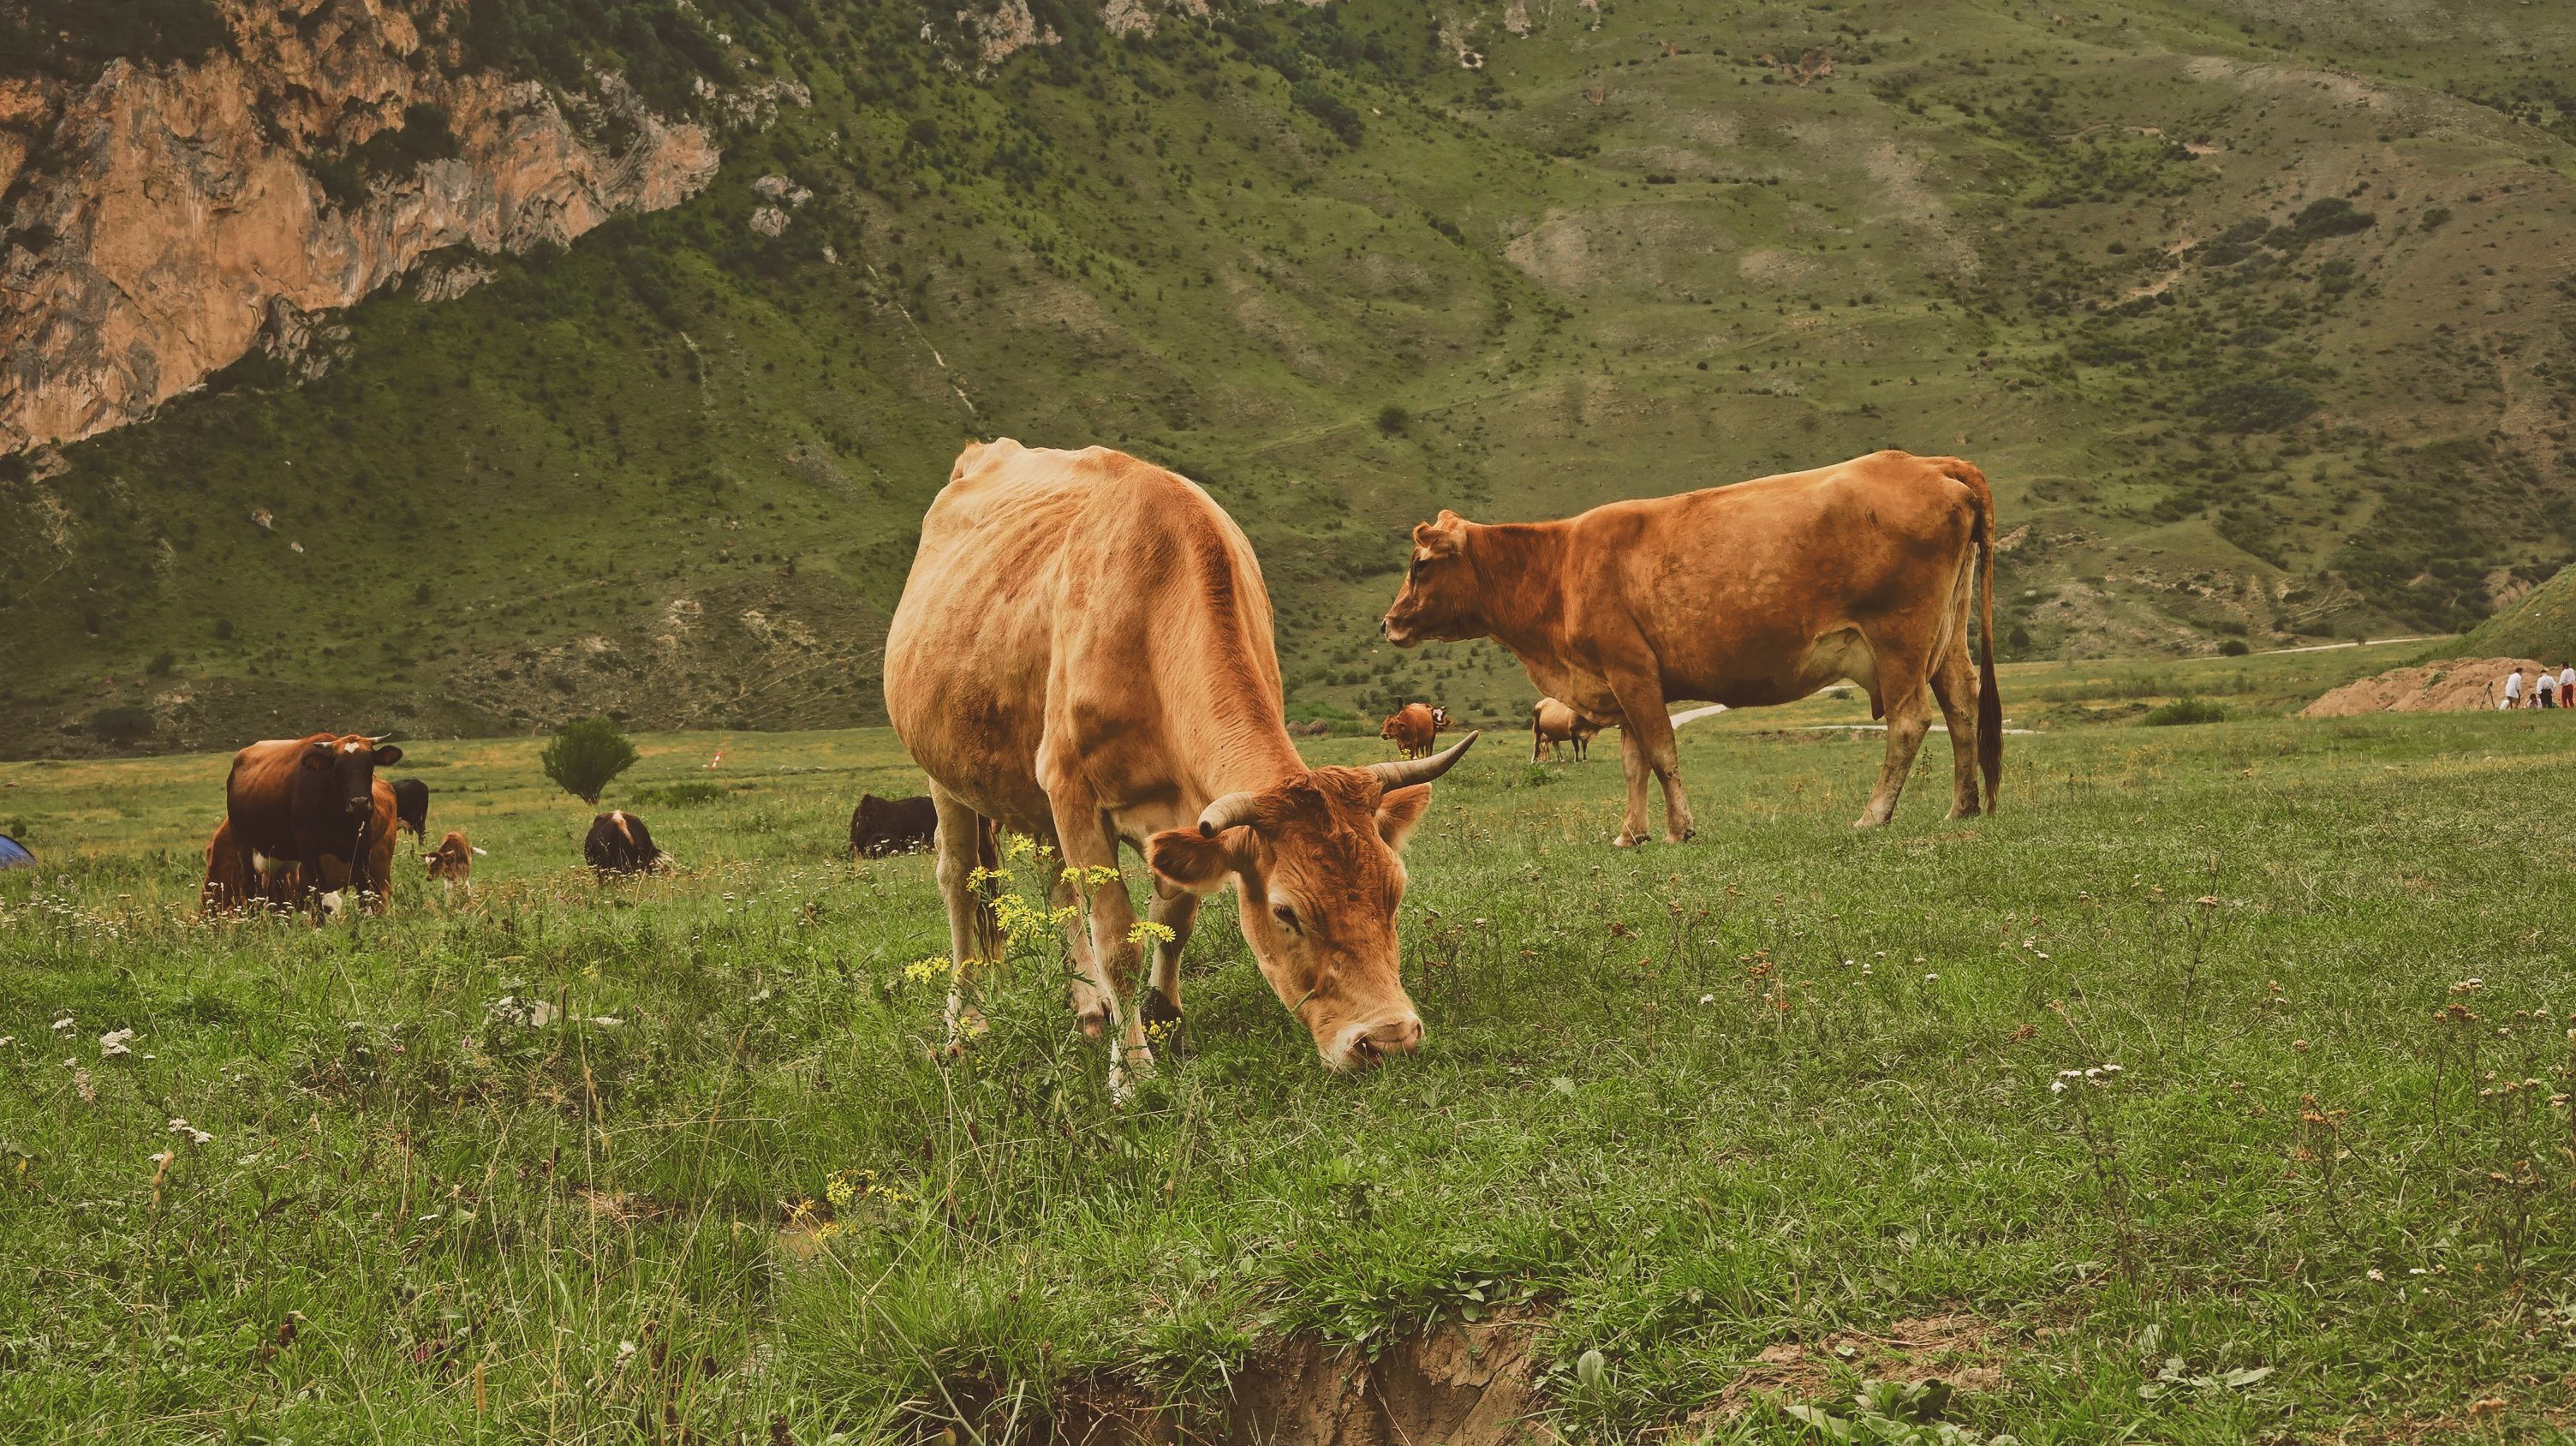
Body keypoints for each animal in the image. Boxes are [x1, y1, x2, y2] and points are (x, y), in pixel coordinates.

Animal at [221, 733, 405, 915]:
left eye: (370, 764)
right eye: (337, 768)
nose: (359, 803)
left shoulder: (362, 846)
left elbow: (364, 890)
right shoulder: (308, 850)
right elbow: (317, 891)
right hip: (244, 848)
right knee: (249, 888)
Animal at [884, 439, 1478, 1088]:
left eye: (1394, 890)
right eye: (1286, 912)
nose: (1389, 1040)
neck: (1152, 616)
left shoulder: (1190, 814)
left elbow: (1174, 918)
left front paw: (1162, 1017)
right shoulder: (1073, 792)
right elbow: (1118, 938)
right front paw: (1132, 1071)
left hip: (1030, 795)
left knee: (1054, 884)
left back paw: (1088, 1007)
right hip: (946, 778)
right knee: (960, 884)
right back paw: (964, 1026)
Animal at [1381, 450, 1999, 843]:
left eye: (1419, 564)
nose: (1388, 624)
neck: (1559, 565)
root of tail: (1927, 463)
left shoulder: (1631, 670)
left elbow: (1660, 754)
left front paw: (1679, 829)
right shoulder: (1620, 681)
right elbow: (1633, 762)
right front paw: (1631, 834)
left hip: (1900, 640)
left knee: (1910, 721)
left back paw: (1874, 815)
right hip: (1946, 637)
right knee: (1962, 705)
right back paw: (1962, 808)